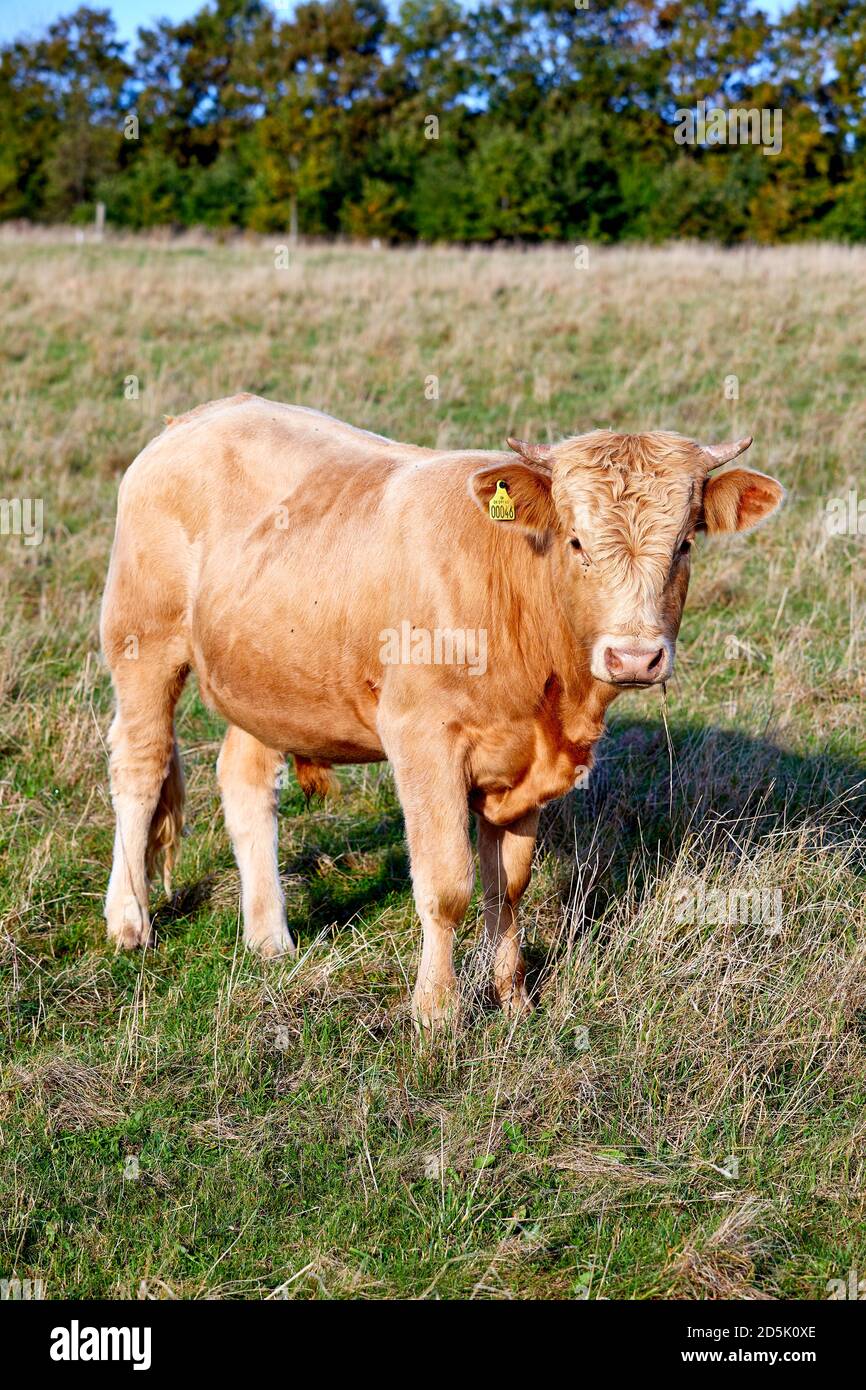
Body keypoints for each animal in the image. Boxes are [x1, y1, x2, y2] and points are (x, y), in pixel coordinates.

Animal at [100, 395, 784, 1026]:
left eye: (685, 544)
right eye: (576, 541)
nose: (635, 657)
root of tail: (204, 415)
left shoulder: (524, 763)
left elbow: (508, 884)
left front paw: (513, 998)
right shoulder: (423, 740)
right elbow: (448, 884)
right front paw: (437, 1011)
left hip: (264, 680)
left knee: (245, 782)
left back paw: (270, 938)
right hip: (143, 642)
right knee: (140, 766)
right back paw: (130, 921)